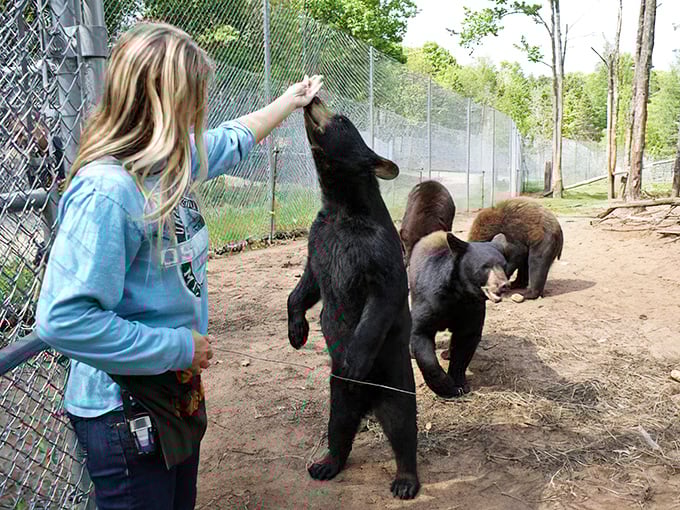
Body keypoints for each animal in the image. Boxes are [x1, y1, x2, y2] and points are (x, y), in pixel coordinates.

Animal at [287, 97, 420, 499]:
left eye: (342, 119)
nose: (314, 97)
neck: (340, 206)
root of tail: (367, 404)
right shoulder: (319, 240)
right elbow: (308, 284)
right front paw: (296, 331)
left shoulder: (376, 250)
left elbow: (383, 298)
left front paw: (354, 361)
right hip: (337, 400)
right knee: (339, 428)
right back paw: (326, 463)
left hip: (394, 385)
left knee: (403, 429)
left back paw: (406, 480)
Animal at [408, 230, 510, 398]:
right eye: (485, 267)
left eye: (504, 266)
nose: (504, 285)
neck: (459, 294)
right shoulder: (429, 299)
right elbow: (421, 334)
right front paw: (447, 388)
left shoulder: (472, 307)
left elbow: (466, 340)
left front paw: (460, 384)